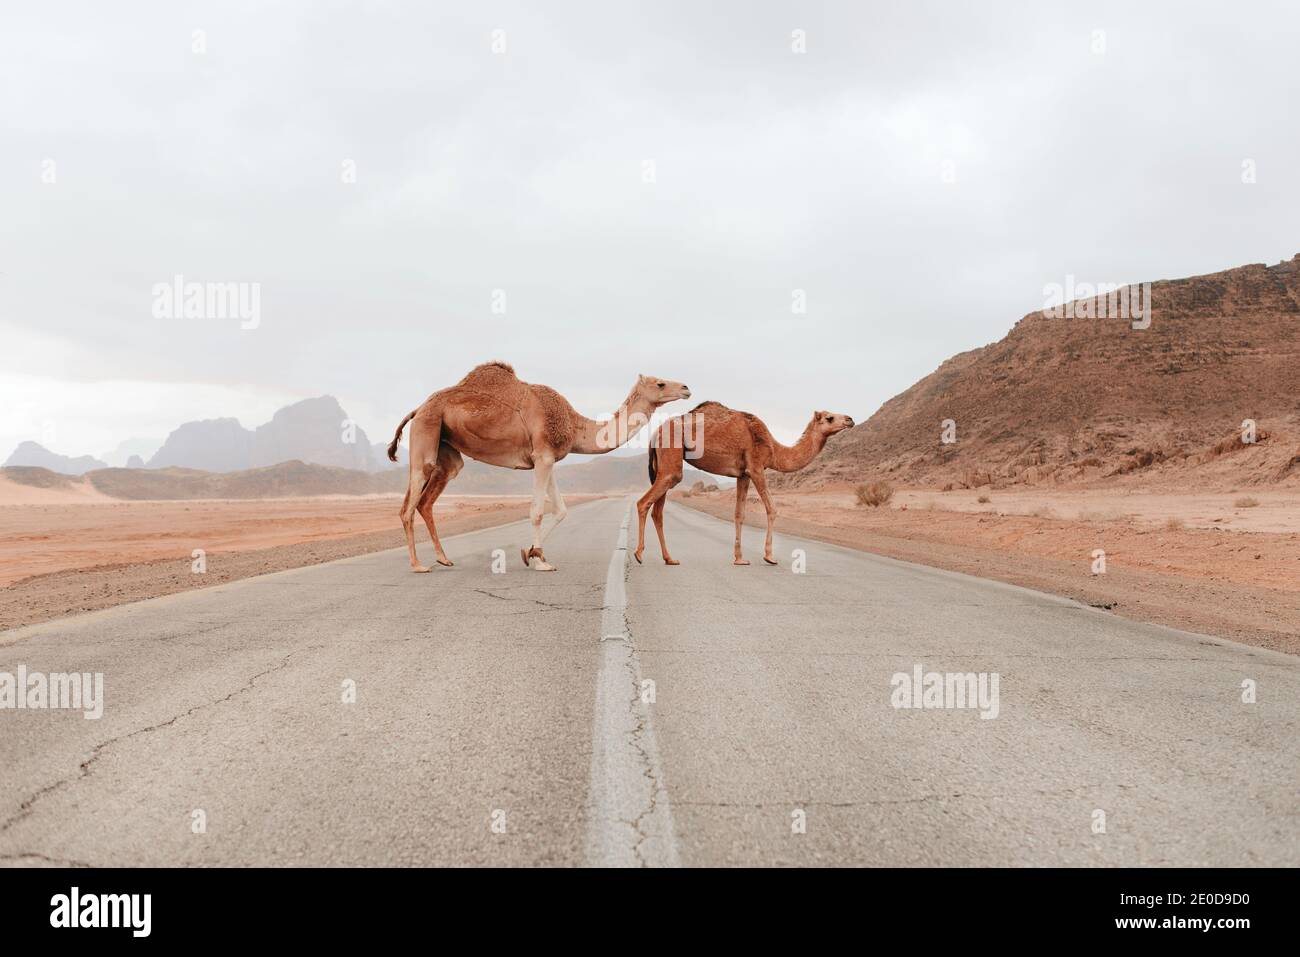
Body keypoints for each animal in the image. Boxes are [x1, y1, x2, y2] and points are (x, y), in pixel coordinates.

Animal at [388, 362, 690, 572]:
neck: (573, 424)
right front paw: (541, 562)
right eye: (661, 384)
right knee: (408, 504)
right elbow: (536, 511)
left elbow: (561, 510)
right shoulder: (543, 456)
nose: (686, 388)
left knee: (427, 499)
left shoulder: (547, 458)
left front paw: (531, 552)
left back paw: (443, 559)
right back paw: (417, 565)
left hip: (447, 449)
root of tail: (418, 408)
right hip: (427, 430)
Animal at [634, 401, 854, 566]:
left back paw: (669, 558)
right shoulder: (756, 468)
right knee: (644, 502)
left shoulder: (743, 474)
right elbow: (772, 508)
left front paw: (739, 558)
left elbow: (739, 514)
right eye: (829, 418)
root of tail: (655, 434)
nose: (850, 419)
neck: (774, 449)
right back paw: (638, 555)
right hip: (671, 461)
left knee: (658, 512)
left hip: (662, 466)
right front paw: (769, 556)